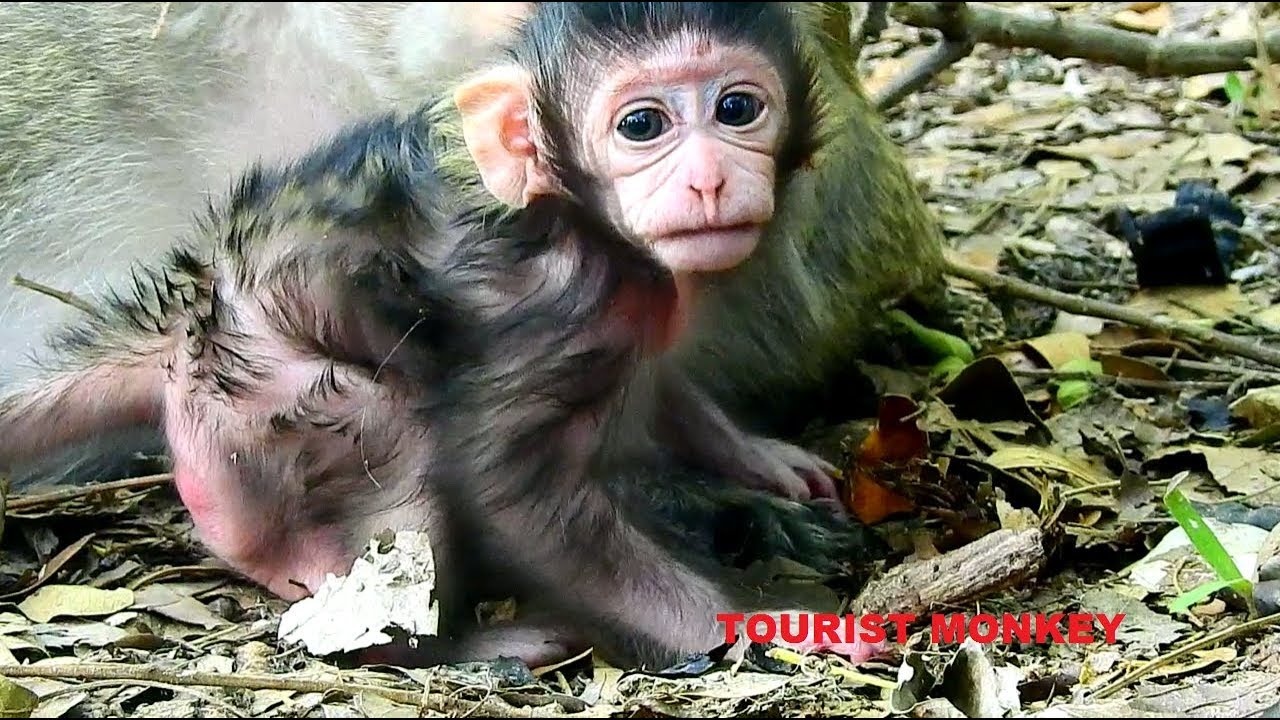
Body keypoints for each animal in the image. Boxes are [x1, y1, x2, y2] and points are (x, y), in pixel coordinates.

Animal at [0, 2, 891, 671]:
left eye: (738, 108)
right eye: (642, 125)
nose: (709, 179)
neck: (576, 215)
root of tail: (186, 322)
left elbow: (668, 388)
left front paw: (756, 457)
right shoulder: (558, 310)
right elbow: (509, 491)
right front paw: (754, 625)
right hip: (254, 409)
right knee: (393, 433)